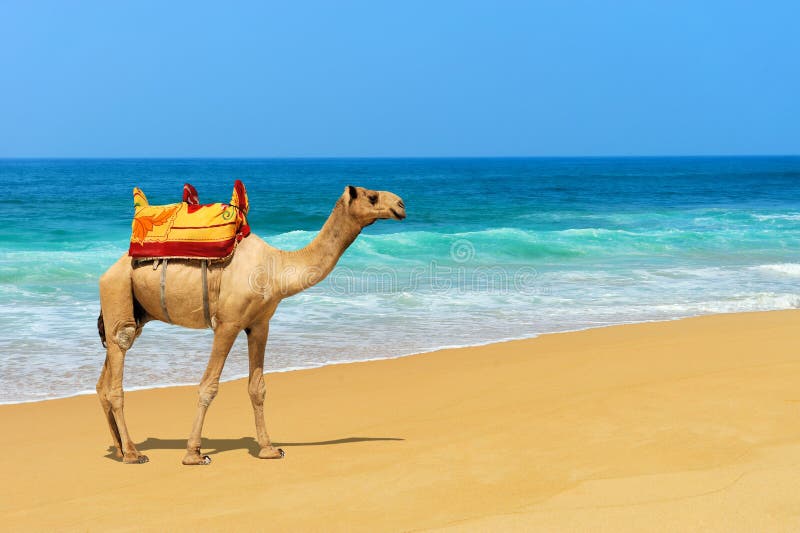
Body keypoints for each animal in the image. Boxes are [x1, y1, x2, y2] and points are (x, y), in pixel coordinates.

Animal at [96, 185, 406, 465]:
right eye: (372, 196)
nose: (401, 205)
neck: (276, 268)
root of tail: (107, 272)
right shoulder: (228, 323)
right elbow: (209, 385)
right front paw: (194, 454)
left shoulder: (259, 324)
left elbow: (258, 388)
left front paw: (269, 449)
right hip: (118, 292)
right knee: (118, 364)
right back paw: (134, 454)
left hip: (134, 311)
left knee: (104, 380)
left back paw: (121, 450)